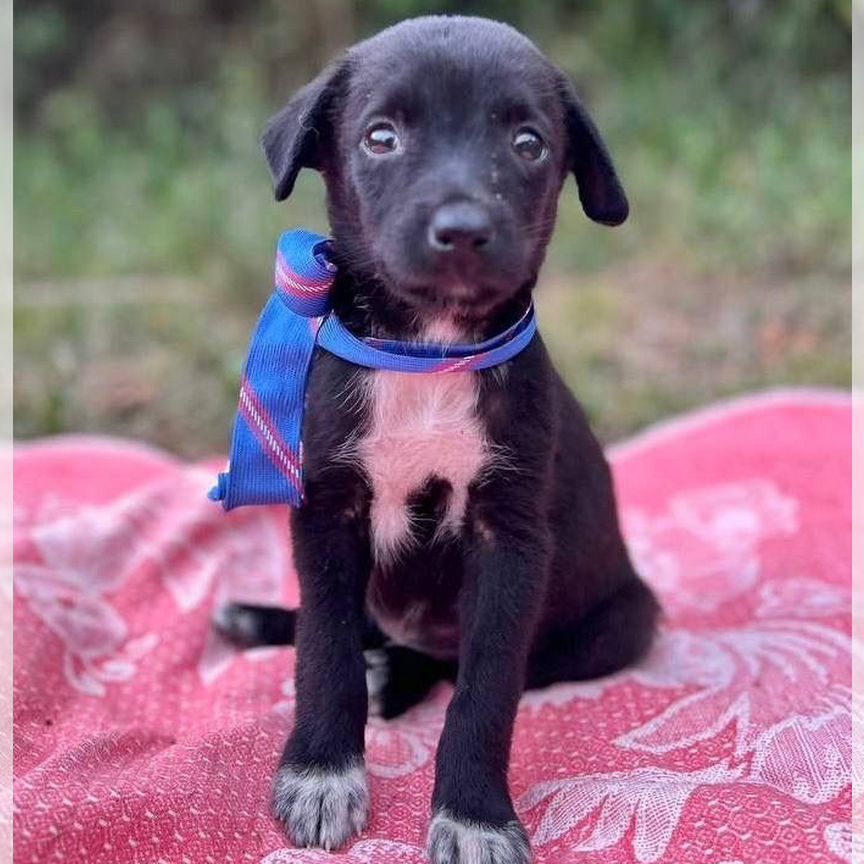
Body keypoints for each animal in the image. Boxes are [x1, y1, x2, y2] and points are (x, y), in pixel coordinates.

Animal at [214, 15, 656, 864]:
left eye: (528, 143)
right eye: (380, 137)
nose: (462, 232)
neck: (425, 350)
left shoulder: (510, 540)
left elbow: (484, 689)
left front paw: (474, 815)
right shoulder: (326, 513)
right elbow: (323, 650)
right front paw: (321, 773)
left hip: (623, 623)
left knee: (452, 665)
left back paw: (392, 673)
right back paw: (264, 624)